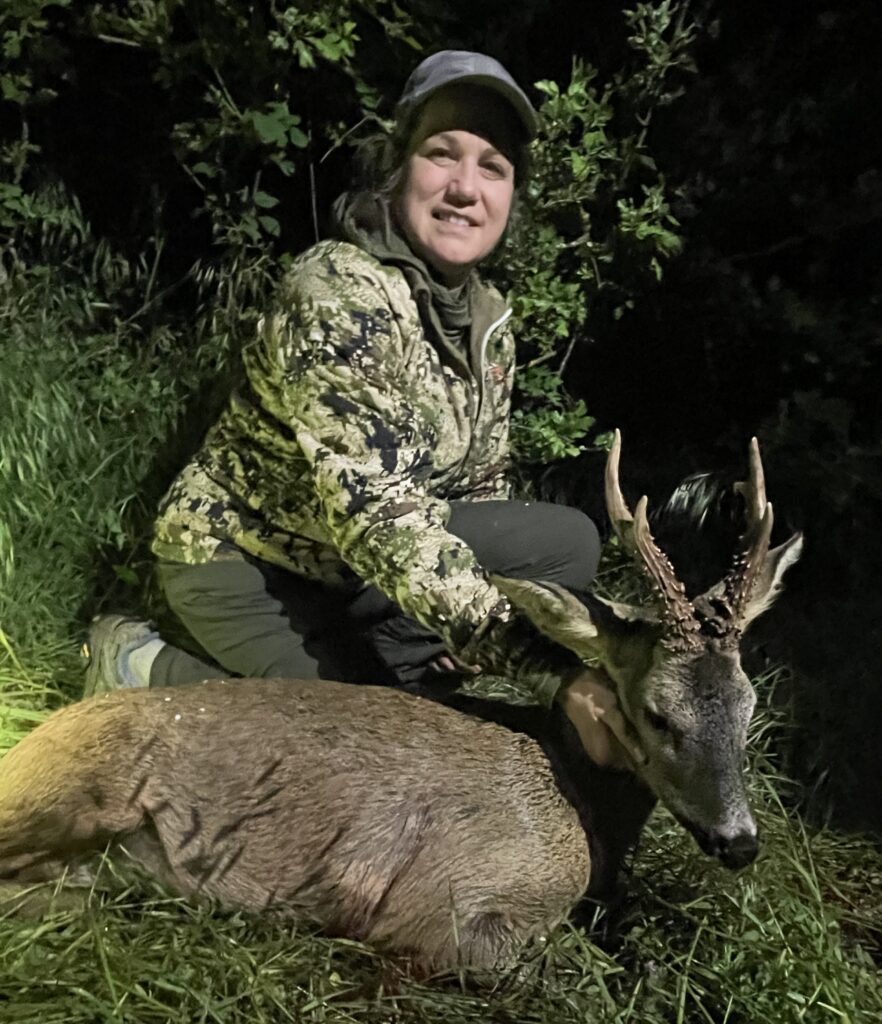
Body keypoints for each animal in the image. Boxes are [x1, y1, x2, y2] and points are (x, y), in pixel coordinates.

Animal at [0, 432, 802, 973]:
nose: (740, 842)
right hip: (80, 795)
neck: (576, 802)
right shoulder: (443, 905)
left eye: (748, 709)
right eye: (657, 714)